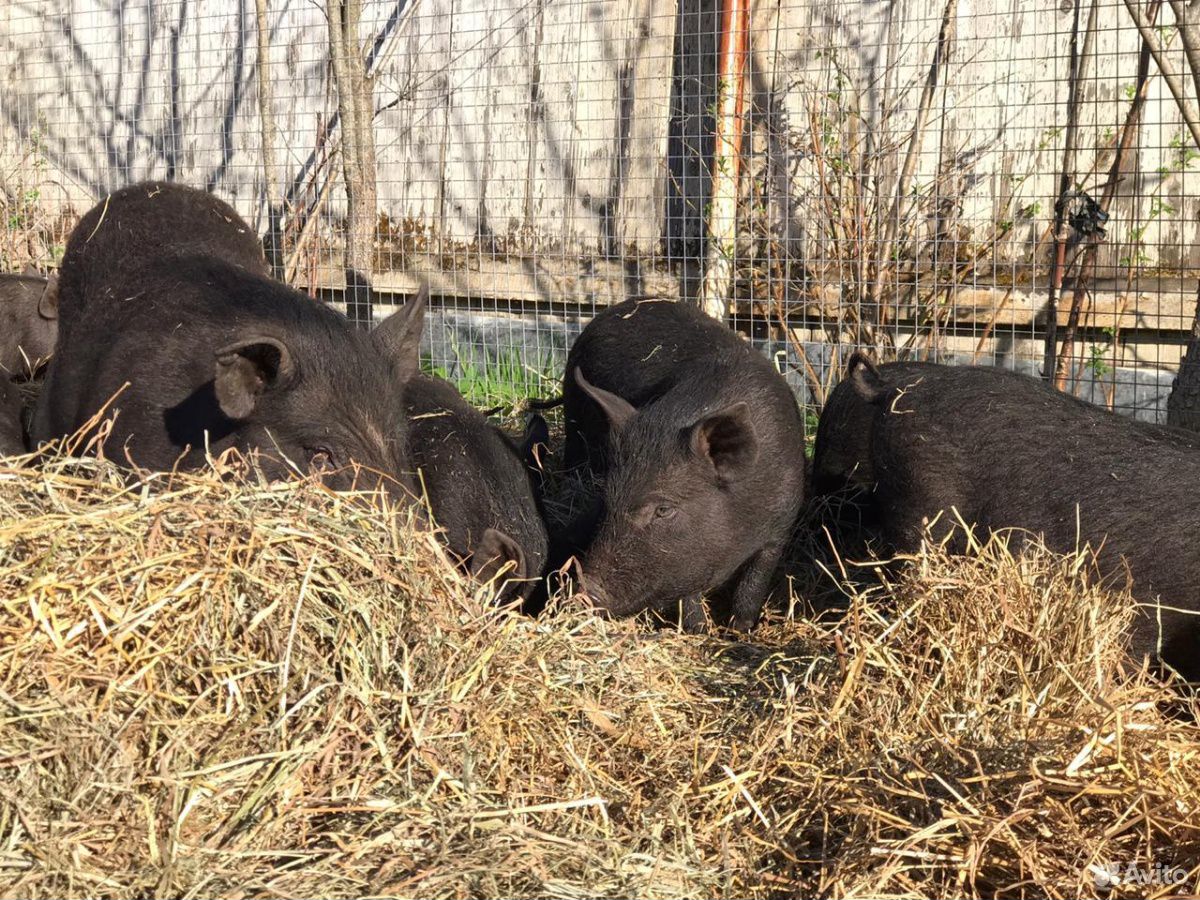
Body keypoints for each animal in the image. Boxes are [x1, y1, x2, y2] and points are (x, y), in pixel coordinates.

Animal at [561, 297, 808, 631]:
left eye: (664, 509)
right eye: (608, 499)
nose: (586, 591)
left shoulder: (781, 526)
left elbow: (754, 582)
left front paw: (740, 629)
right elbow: (686, 594)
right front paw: (700, 630)